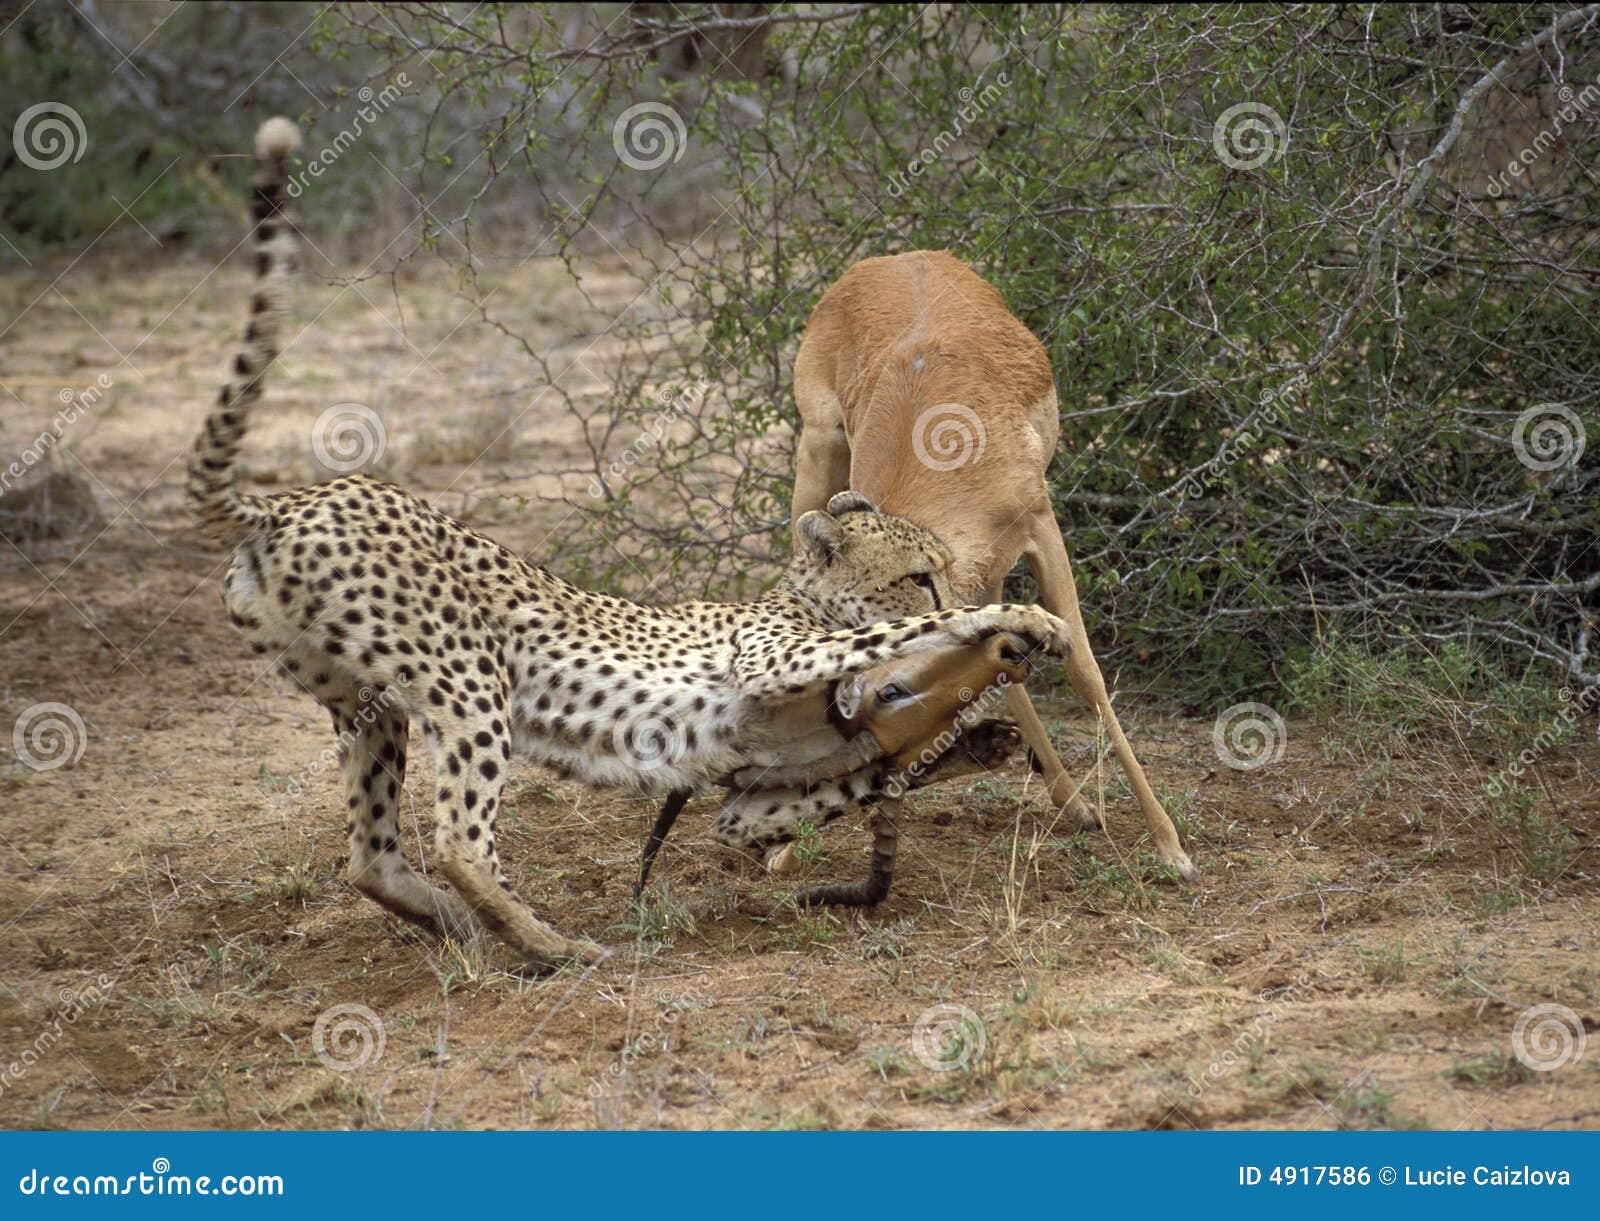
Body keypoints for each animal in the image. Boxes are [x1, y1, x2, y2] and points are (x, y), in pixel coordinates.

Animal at [187, 117, 1072, 971]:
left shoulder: (754, 792)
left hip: (359, 702)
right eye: (920, 574)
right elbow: (898, 632)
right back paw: (551, 945)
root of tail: (294, 500)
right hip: (467, 680)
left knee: (371, 855)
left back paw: (467, 929)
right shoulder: (774, 658)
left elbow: (825, 788)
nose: (965, 591)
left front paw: (980, 736)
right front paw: (1023, 623)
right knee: (462, 842)